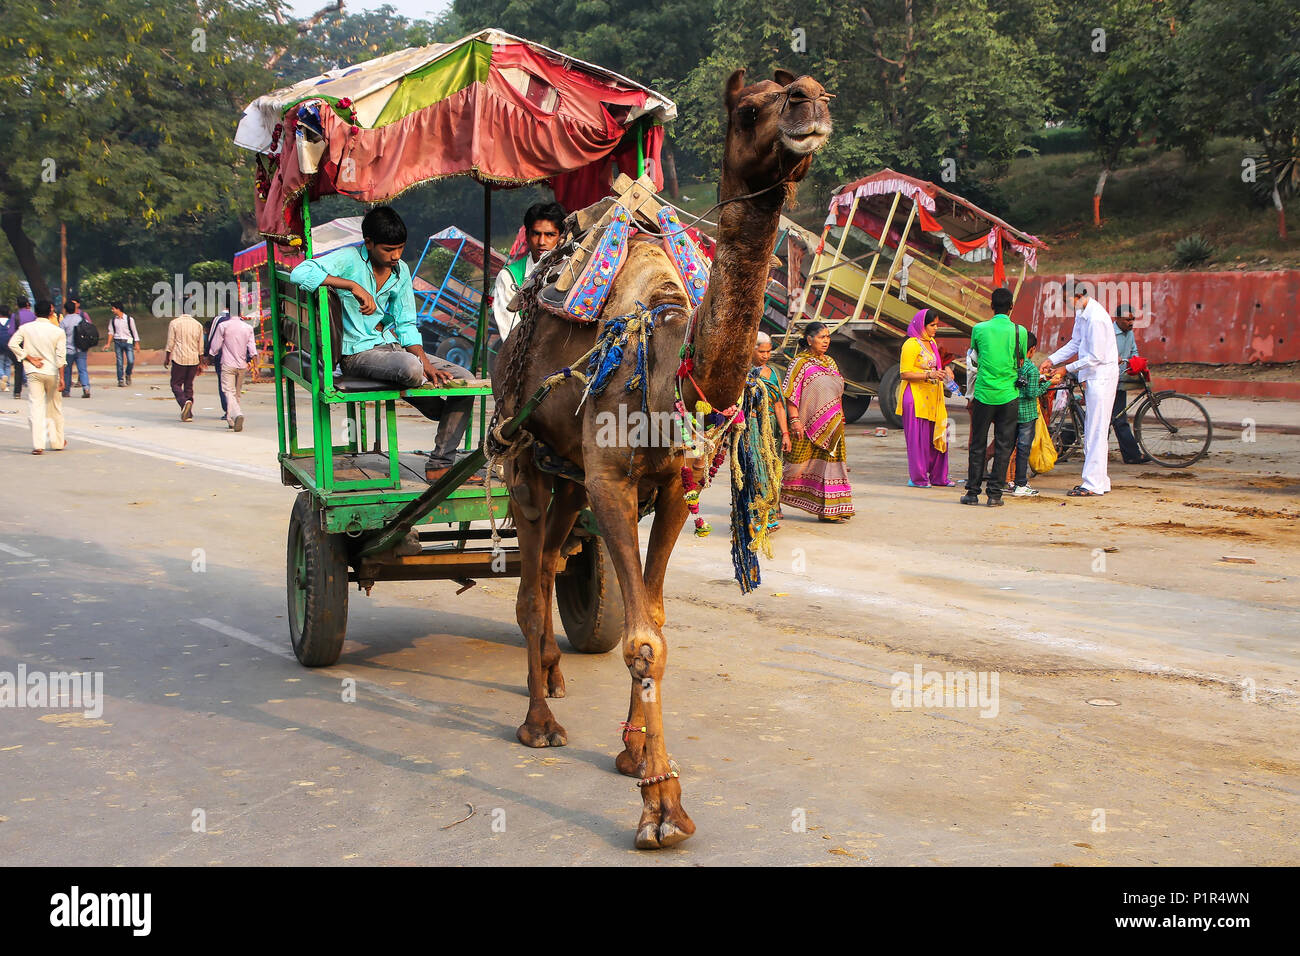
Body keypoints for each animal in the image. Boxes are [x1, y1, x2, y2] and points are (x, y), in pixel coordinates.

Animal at [490, 68, 831, 849]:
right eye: (749, 109)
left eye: (810, 89)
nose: (809, 99)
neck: (673, 362)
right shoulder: (612, 480)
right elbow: (643, 639)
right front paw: (662, 807)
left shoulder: (674, 488)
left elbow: (657, 619)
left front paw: (632, 752)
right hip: (523, 455)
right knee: (529, 587)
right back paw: (539, 722)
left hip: (566, 474)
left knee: (550, 560)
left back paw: (554, 678)